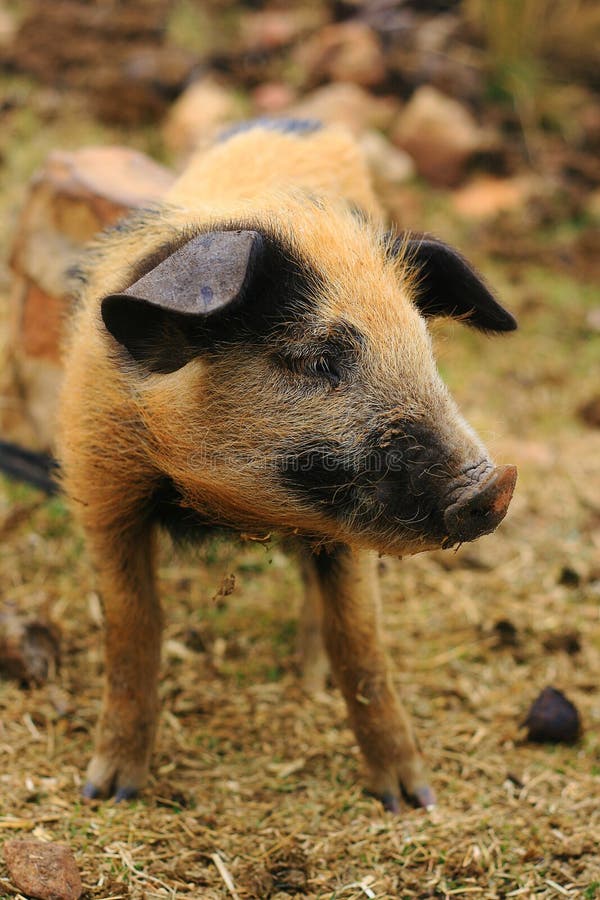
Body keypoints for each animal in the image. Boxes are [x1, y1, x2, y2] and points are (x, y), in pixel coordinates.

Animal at [58, 118, 517, 812]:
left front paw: (411, 800)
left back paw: (309, 677)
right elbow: (133, 628)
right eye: (315, 359)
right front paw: (108, 792)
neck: (215, 508)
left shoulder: (348, 534)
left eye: (423, 348)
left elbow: (359, 639)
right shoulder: (103, 482)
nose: (492, 485)